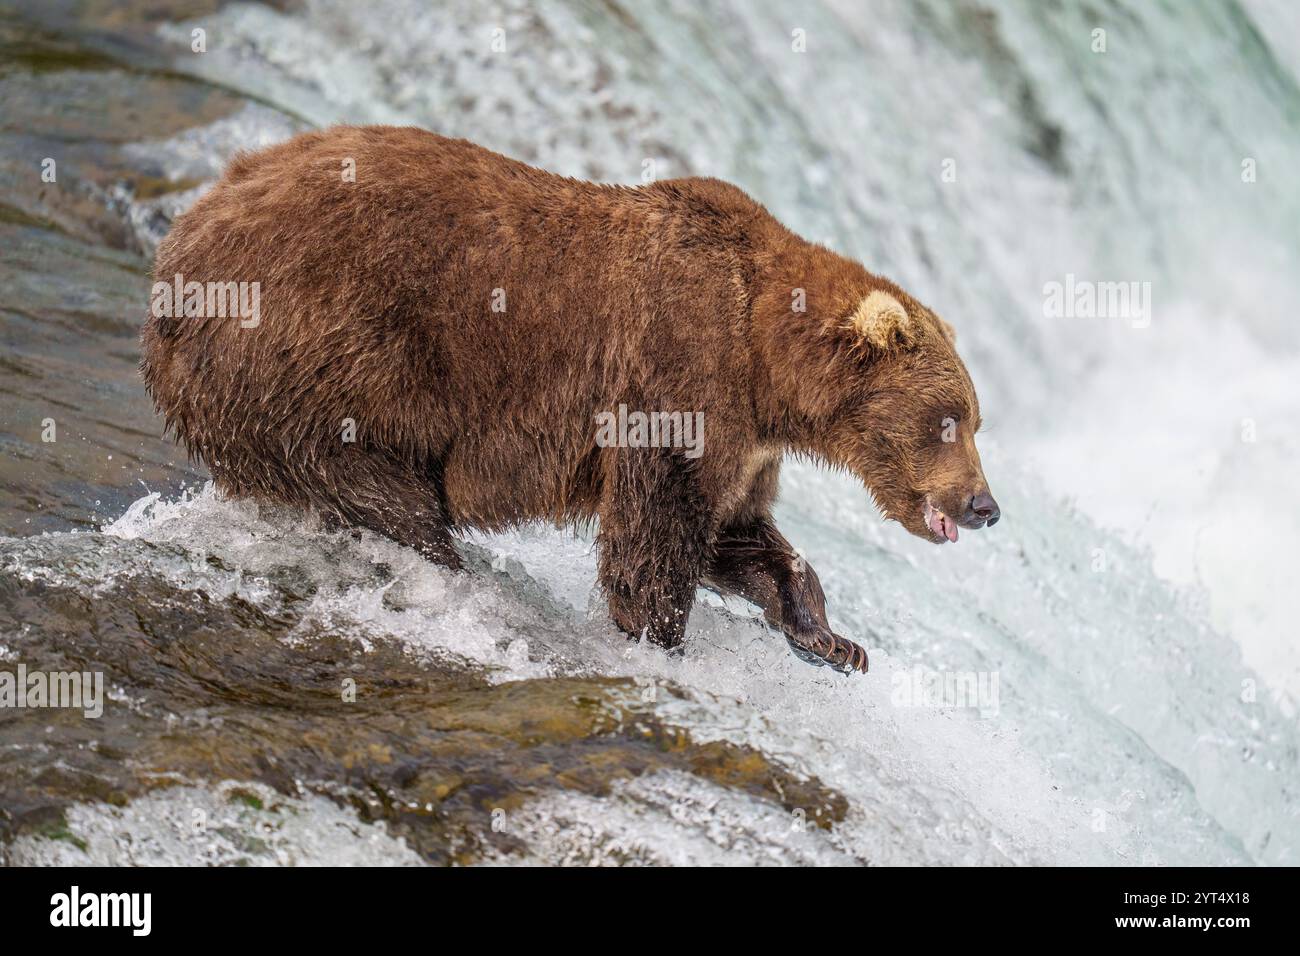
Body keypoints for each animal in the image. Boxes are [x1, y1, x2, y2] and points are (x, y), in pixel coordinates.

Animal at [140, 126, 999, 674]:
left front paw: (828, 636)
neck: (767, 364)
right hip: (318, 358)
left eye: (974, 419)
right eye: (949, 419)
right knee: (384, 495)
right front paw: (663, 644)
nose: (986, 505)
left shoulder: (741, 440)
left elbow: (737, 534)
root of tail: (179, 242)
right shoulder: (676, 375)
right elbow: (655, 535)